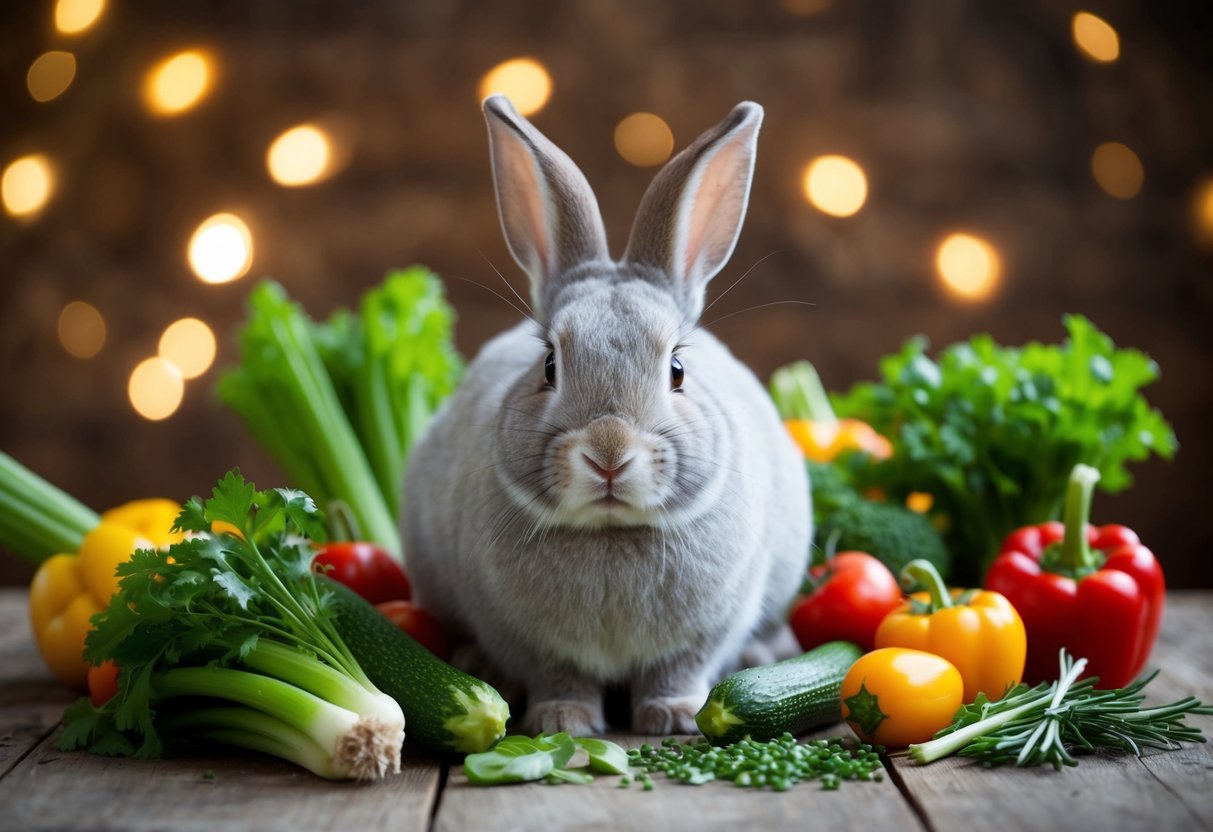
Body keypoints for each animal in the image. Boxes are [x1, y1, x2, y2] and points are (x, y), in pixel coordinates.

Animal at [403, 95, 811, 737]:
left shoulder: (706, 632)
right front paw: (564, 722)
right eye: (549, 365)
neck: (612, 531)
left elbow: (678, 671)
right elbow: (558, 676)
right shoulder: (521, 635)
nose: (610, 452)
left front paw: (675, 717)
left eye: (677, 370)